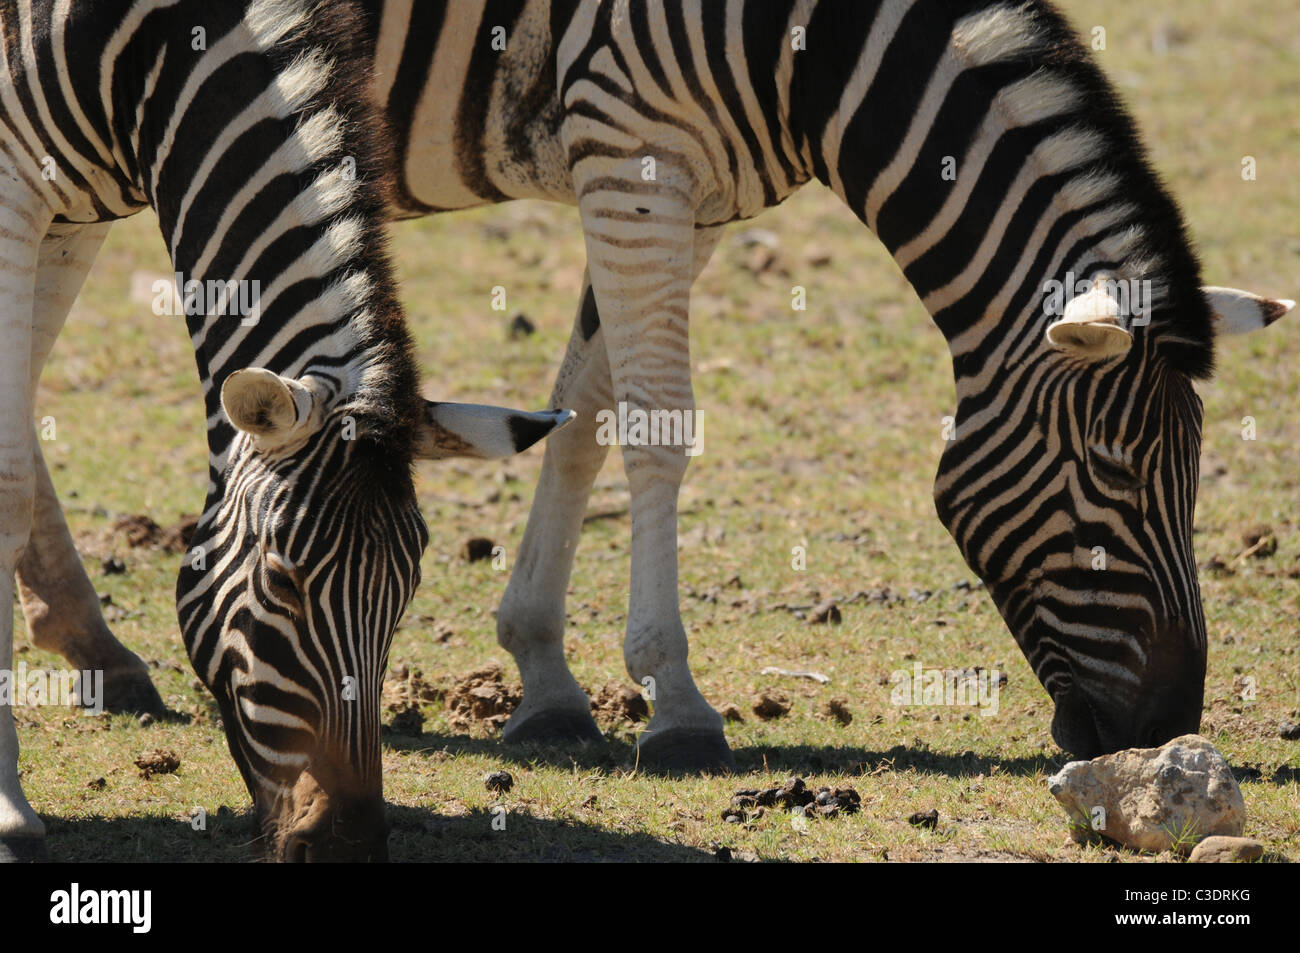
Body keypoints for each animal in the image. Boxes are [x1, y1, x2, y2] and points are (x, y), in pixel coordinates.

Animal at [0, 0, 570, 863]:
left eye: (405, 593)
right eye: (282, 581)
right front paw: (8, 804)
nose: (349, 844)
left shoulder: (64, 207)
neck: (148, 49)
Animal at [357, 0, 1293, 771]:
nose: (1169, 729)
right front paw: (677, 703)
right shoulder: (632, 155)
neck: (808, 42)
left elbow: (583, 419)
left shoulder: (686, 195)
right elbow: (658, 428)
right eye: (1113, 473)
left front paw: (545, 675)